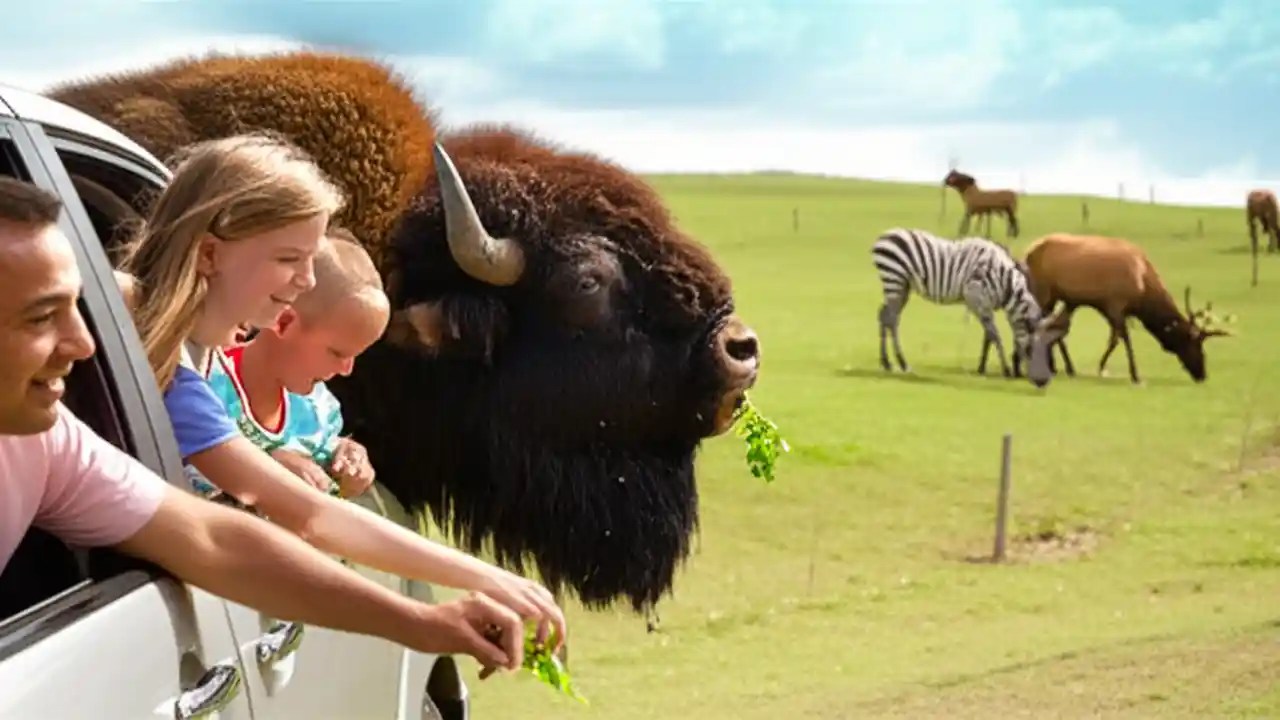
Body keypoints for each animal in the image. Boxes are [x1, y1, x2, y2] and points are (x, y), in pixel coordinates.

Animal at [871, 227, 1042, 377]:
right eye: (1033, 346)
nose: (1030, 376)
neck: (1005, 282)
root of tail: (883, 236)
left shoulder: (984, 304)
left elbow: (988, 335)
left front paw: (984, 367)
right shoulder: (976, 297)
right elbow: (994, 334)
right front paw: (1005, 370)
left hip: (902, 286)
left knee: (884, 316)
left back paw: (887, 362)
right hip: (894, 279)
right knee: (891, 320)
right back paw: (902, 363)